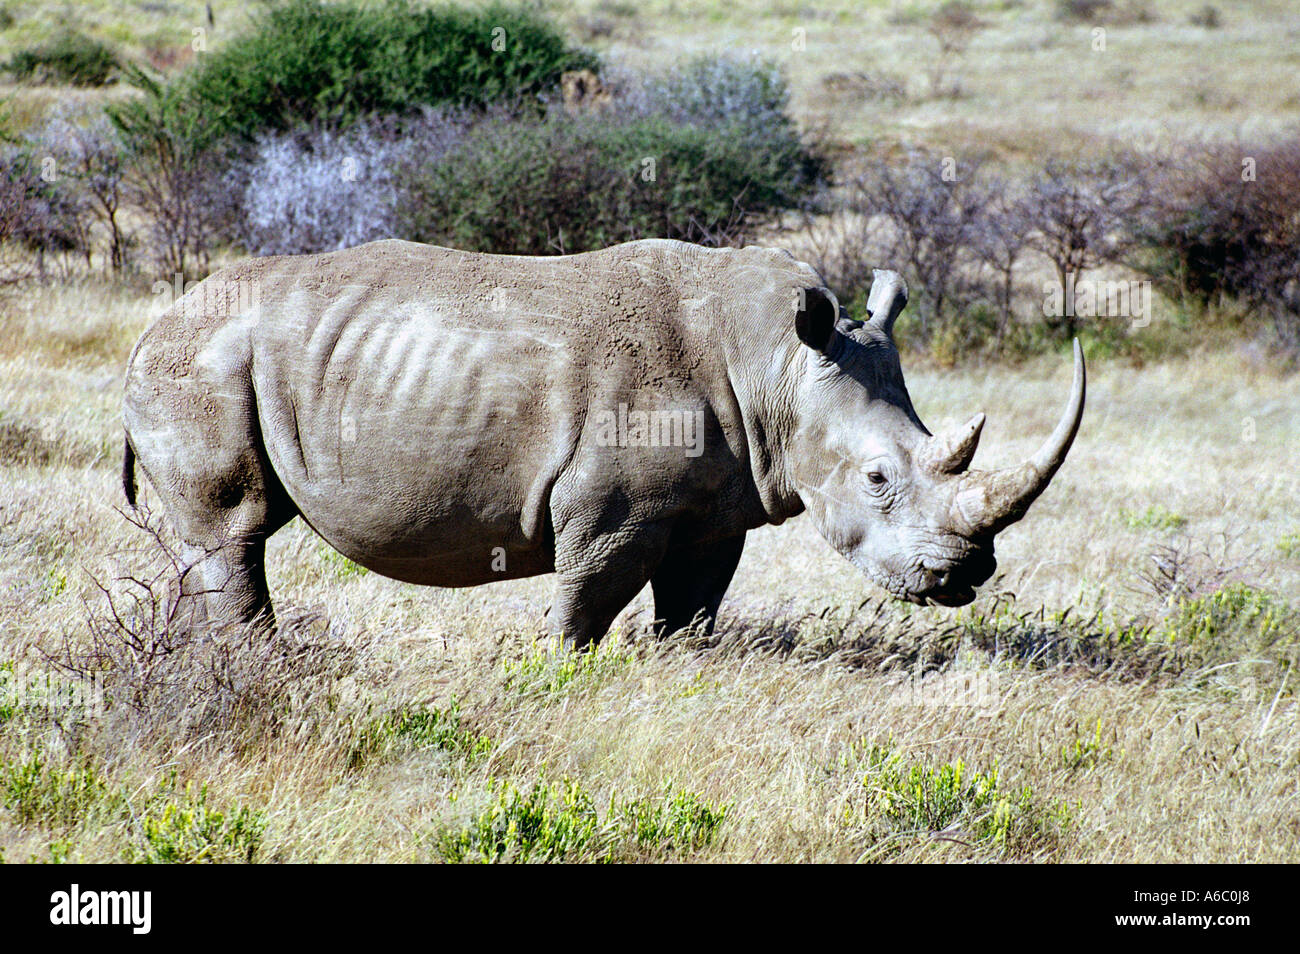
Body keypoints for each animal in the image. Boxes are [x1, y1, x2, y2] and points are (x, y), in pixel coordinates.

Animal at [122, 238, 1084, 647]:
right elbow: (584, 605)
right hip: (203, 360)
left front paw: (679, 665)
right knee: (236, 527)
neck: (775, 364)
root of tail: (153, 322)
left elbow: (693, 605)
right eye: (879, 478)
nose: (967, 575)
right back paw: (260, 664)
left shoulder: (715, 510)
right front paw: (558, 673)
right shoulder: (610, 510)